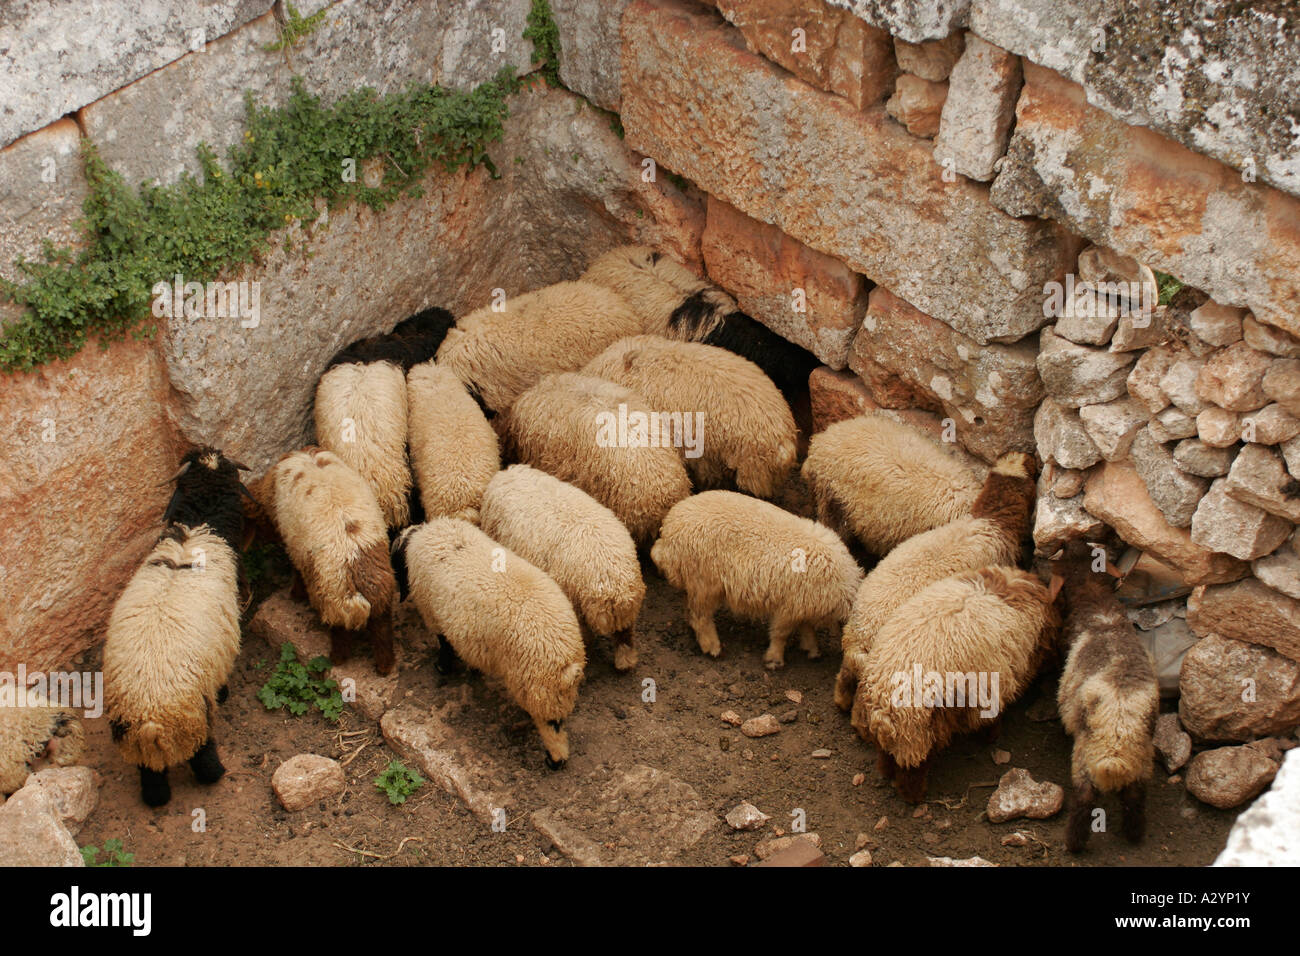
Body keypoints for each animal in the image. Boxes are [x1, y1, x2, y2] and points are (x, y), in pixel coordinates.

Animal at [252, 447, 397, 676]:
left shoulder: (295, 549)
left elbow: (297, 573)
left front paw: (295, 595)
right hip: (381, 601)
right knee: (382, 635)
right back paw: (384, 668)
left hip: (334, 601)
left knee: (340, 636)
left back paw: (334, 659)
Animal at [392, 518, 586, 768]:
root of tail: (567, 663)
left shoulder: (433, 615)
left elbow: (445, 645)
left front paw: (442, 667)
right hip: (549, 690)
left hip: (538, 685)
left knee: (551, 727)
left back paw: (554, 759)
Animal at [650, 490, 863, 668]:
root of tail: (668, 532)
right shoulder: (789, 607)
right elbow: (780, 634)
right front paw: (774, 660)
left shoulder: (802, 605)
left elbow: (807, 628)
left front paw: (812, 650)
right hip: (704, 583)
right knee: (700, 617)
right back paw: (712, 647)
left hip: (695, 582)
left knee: (690, 608)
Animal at [852, 565, 1060, 802]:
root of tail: (884, 706)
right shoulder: (995, 686)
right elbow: (992, 718)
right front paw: (991, 737)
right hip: (915, 738)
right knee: (911, 772)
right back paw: (915, 797)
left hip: (896, 737)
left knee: (886, 756)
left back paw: (887, 774)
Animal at [1055, 541, 1159, 852]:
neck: (1098, 604)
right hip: (1142, 762)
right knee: (1135, 802)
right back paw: (1134, 836)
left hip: (1085, 759)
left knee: (1083, 802)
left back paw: (1073, 845)